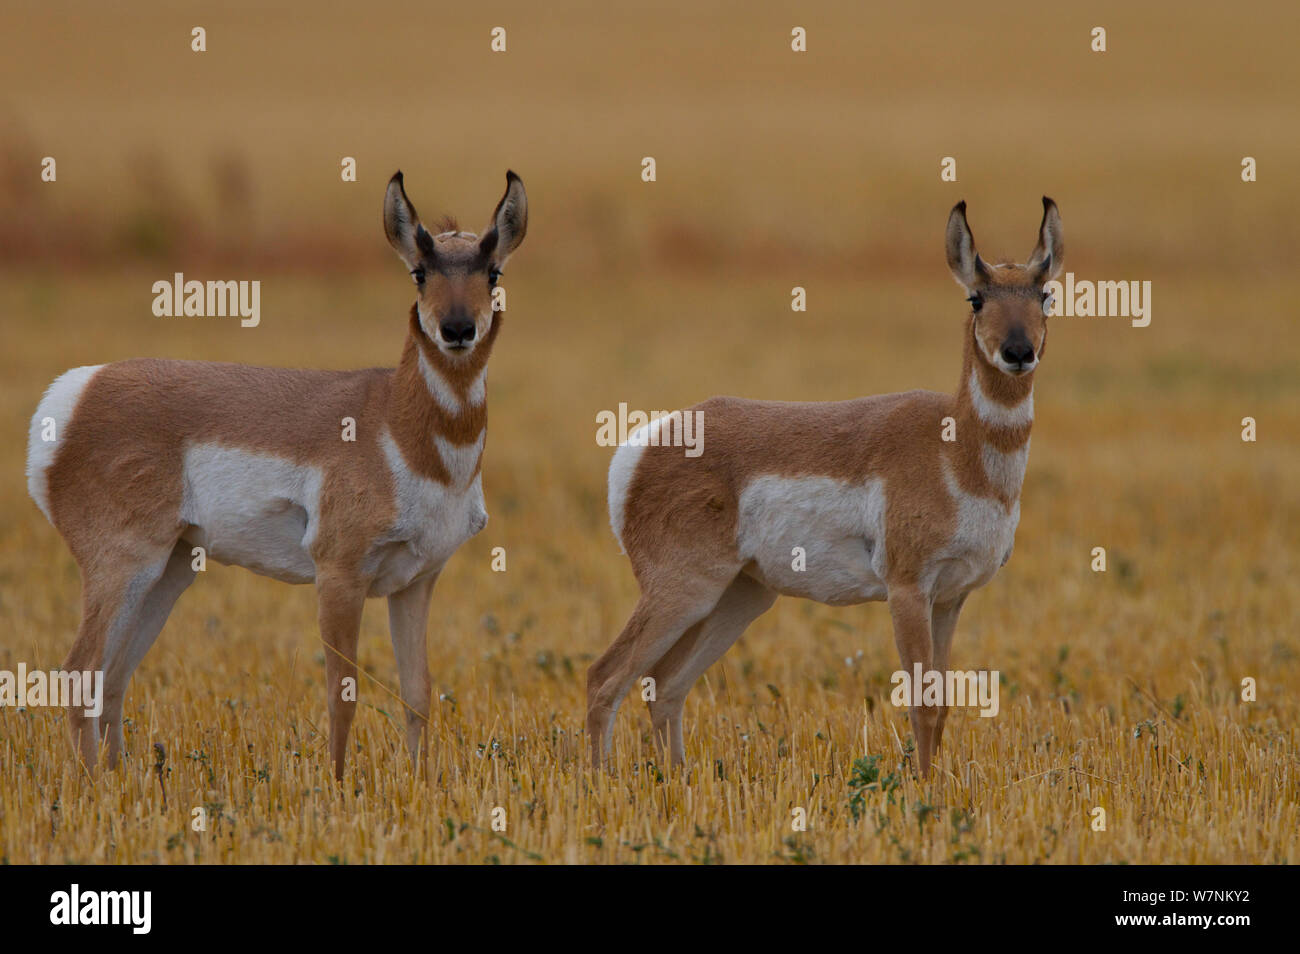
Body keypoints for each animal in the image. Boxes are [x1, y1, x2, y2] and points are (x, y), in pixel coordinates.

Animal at [25, 170, 527, 780]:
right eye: (420, 272)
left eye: (492, 271)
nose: (457, 329)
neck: (397, 426)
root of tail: (77, 390)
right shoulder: (339, 575)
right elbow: (342, 692)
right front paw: (338, 787)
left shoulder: (416, 582)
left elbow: (418, 693)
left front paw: (419, 784)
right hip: (124, 566)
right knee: (81, 671)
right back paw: (94, 787)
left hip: (168, 572)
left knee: (114, 678)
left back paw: (122, 781)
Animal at [589, 197, 1062, 777]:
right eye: (977, 297)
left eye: (1045, 295)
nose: (1018, 351)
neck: (958, 449)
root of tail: (642, 444)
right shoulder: (907, 590)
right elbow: (922, 703)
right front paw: (925, 788)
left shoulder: (951, 598)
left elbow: (944, 702)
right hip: (683, 590)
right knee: (605, 678)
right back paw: (598, 782)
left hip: (739, 596)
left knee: (664, 685)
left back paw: (676, 780)